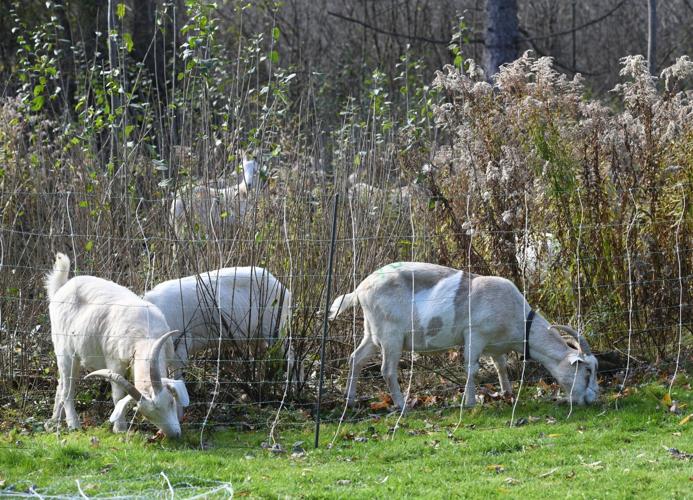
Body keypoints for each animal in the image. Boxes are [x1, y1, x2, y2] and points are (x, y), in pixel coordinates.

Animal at [45, 253, 189, 438]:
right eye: (148, 415)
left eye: (170, 402)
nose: (174, 435)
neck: (146, 336)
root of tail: (61, 288)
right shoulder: (115, 362)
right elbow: (118, 395)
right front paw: (119, 428)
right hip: (65, 352)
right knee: (67, 390)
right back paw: (73, 424)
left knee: (60, 384)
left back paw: (53, 422)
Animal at [143, 266, 300, 384]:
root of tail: (284, 289)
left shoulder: (182, 342)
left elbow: (177, 374)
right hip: (257, 335)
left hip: (276, 328)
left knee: (291, 355)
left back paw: (292, 387)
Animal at [329, 262, 599, 409]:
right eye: (586, 371)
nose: (593, 399)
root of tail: (360, 289)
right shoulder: (475, 334)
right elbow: (472, 368)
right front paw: (469, 402)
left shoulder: (494, 344)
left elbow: (501, 366)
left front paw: (508, 394)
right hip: (391, 335)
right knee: (387, 370)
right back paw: (403, 405)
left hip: (372, 333)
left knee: (356, 359)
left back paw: (350, 400)